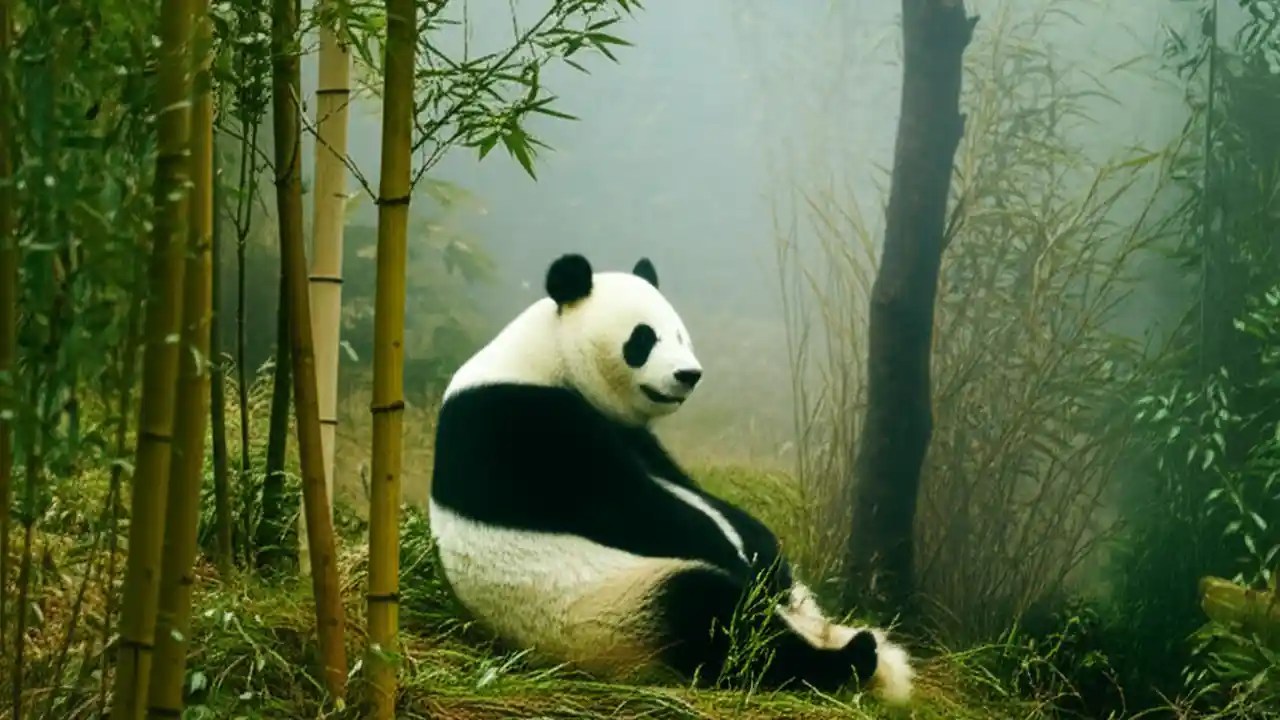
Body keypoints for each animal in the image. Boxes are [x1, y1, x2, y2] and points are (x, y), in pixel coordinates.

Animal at [427, 253, 914, 703]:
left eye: (680, 334)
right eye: (643, 339)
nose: (688, 375)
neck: (545, 356)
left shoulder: (634, 437)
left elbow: (695, 492)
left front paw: (763, 556)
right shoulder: (518, 422)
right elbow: (630, 508)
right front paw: (738, 559)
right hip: (615, 609)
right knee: (719, 622)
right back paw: (849, 657)